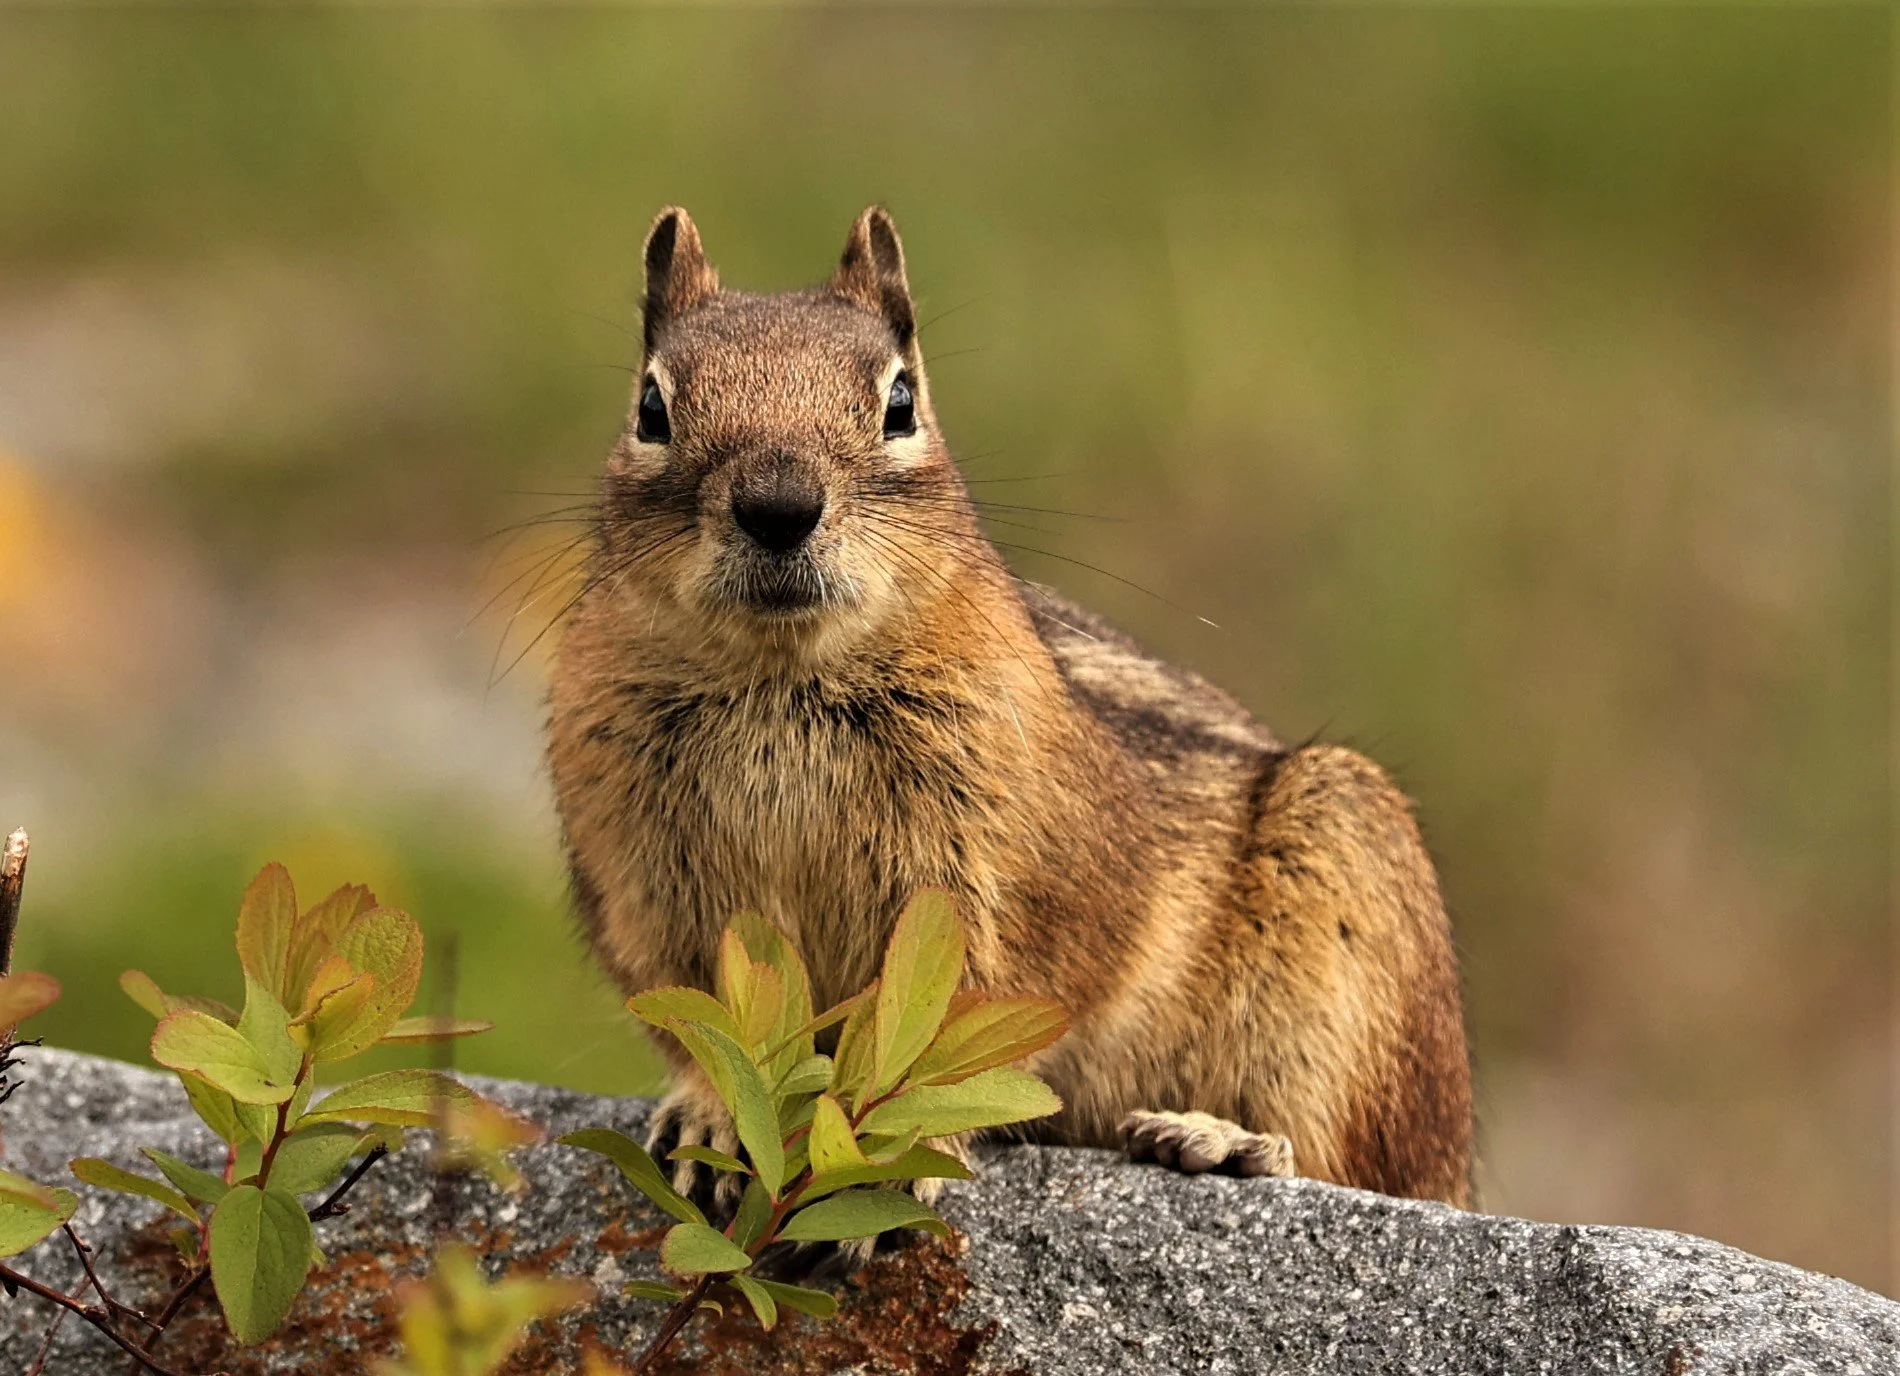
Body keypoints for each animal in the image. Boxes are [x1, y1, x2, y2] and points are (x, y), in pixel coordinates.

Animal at [548, 205, 1473, 1209]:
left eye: (901, 403)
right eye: (651, 408)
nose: (779, 505)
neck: (779, 678)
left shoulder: (1011, 877)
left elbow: (966, 1025)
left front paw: (900, 1143)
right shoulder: (643, 882)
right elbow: (696, 1018)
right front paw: (710, 1114)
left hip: (1349, 915)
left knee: (1362, 1165)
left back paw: (1220, 1140)